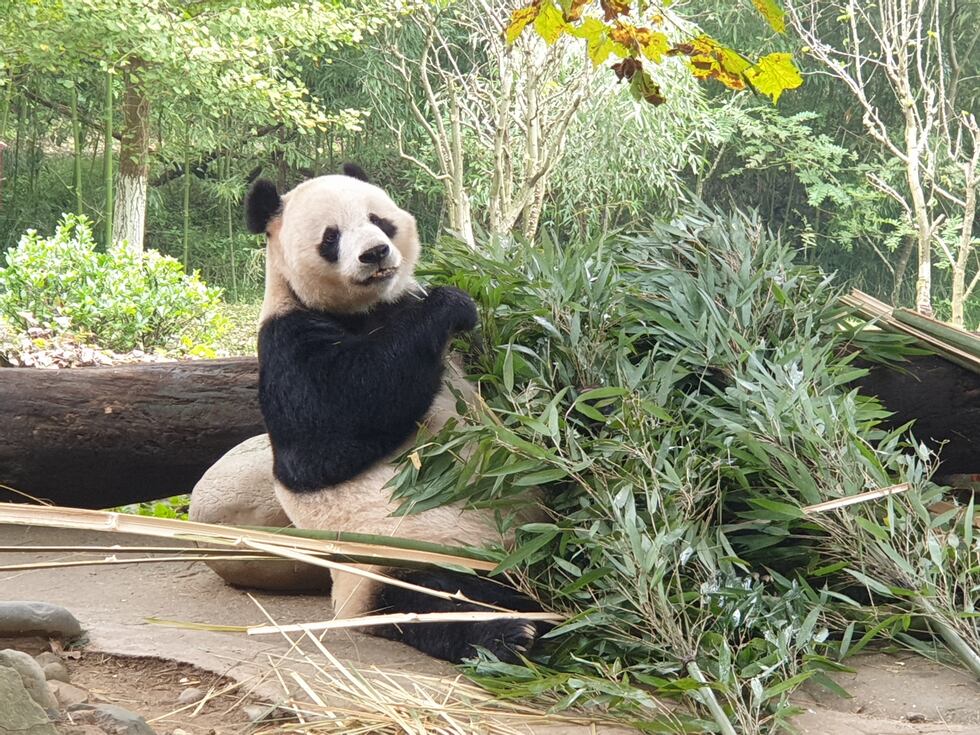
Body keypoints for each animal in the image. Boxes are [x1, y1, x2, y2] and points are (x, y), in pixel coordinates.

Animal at [245, 164, 544, 663]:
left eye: (379, 220)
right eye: (331, 236)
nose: (375, 253)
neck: (368, 309)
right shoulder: (285, 339)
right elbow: (330, 426)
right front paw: (452, 305)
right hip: (394, 559)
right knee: (431, 599)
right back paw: (510, 631)